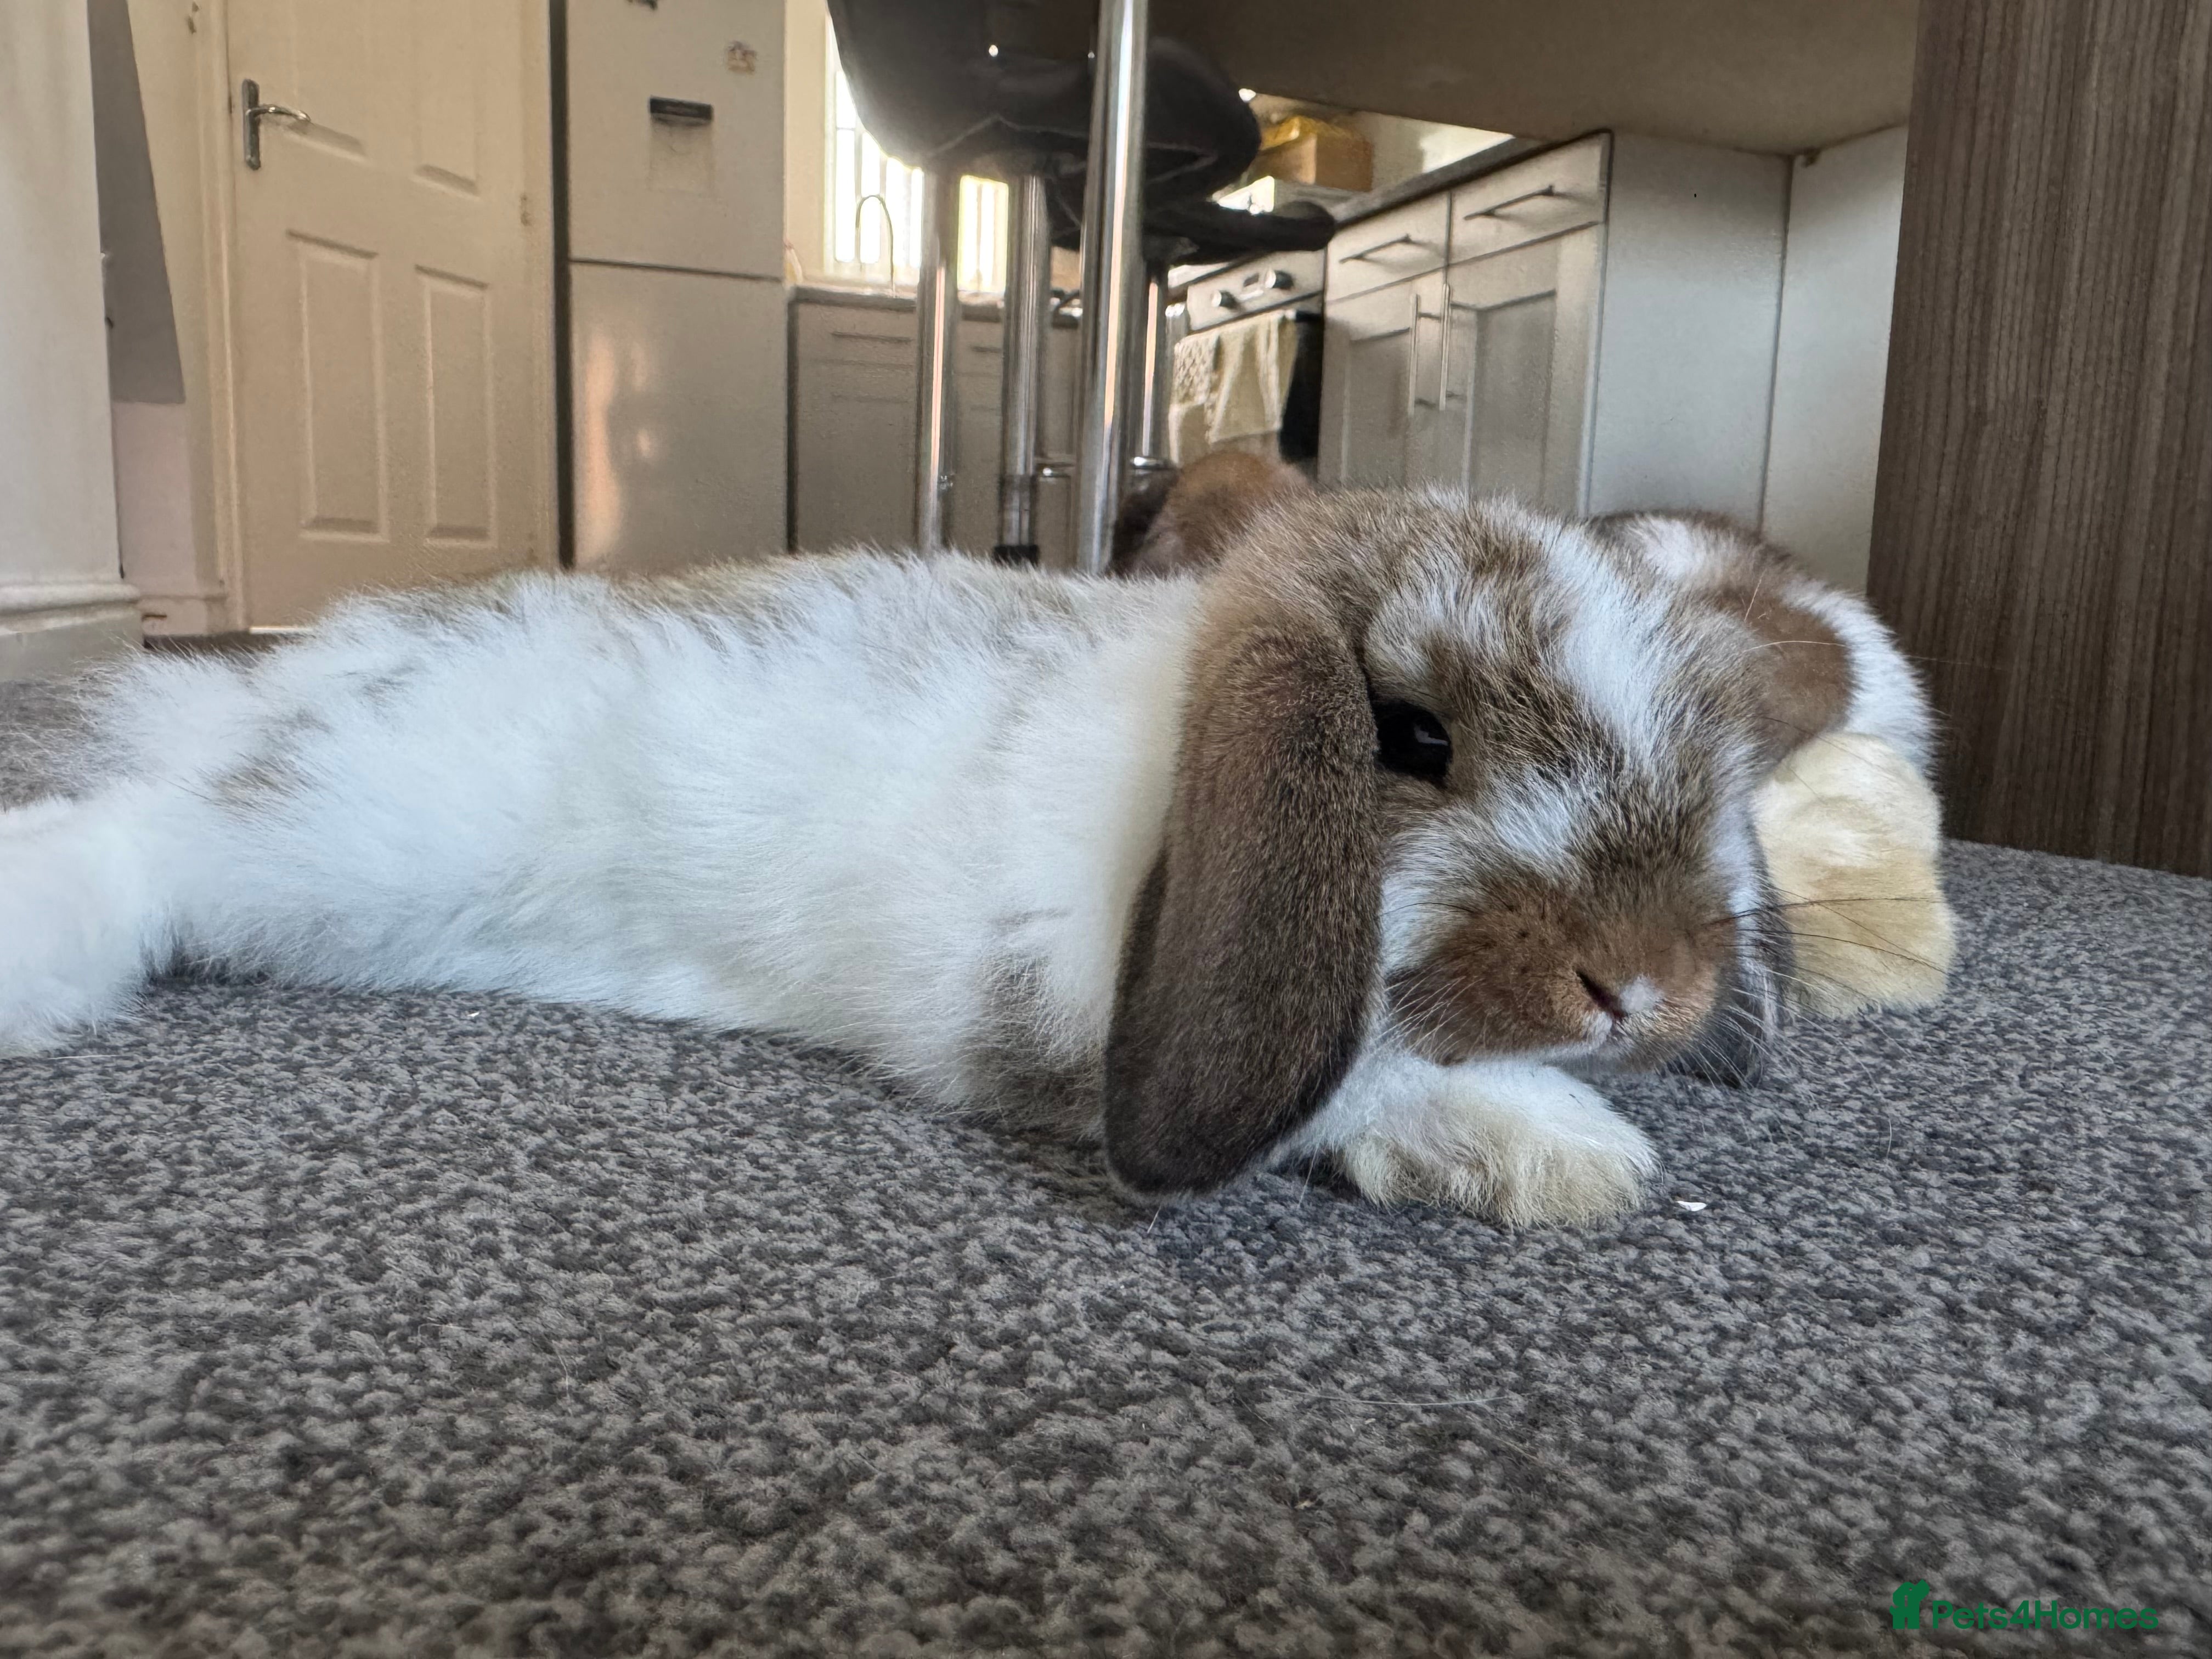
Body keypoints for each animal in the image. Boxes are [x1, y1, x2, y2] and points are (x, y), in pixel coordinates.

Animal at [1, 489, 1927, 1225]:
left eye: (1708, 742)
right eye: (1413, 740)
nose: (1648, 988)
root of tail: (288, 679)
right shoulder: (1062, 1017)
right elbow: (1351, 1080)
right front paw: (1573, 1150)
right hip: (320, 824)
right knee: (139, 839)